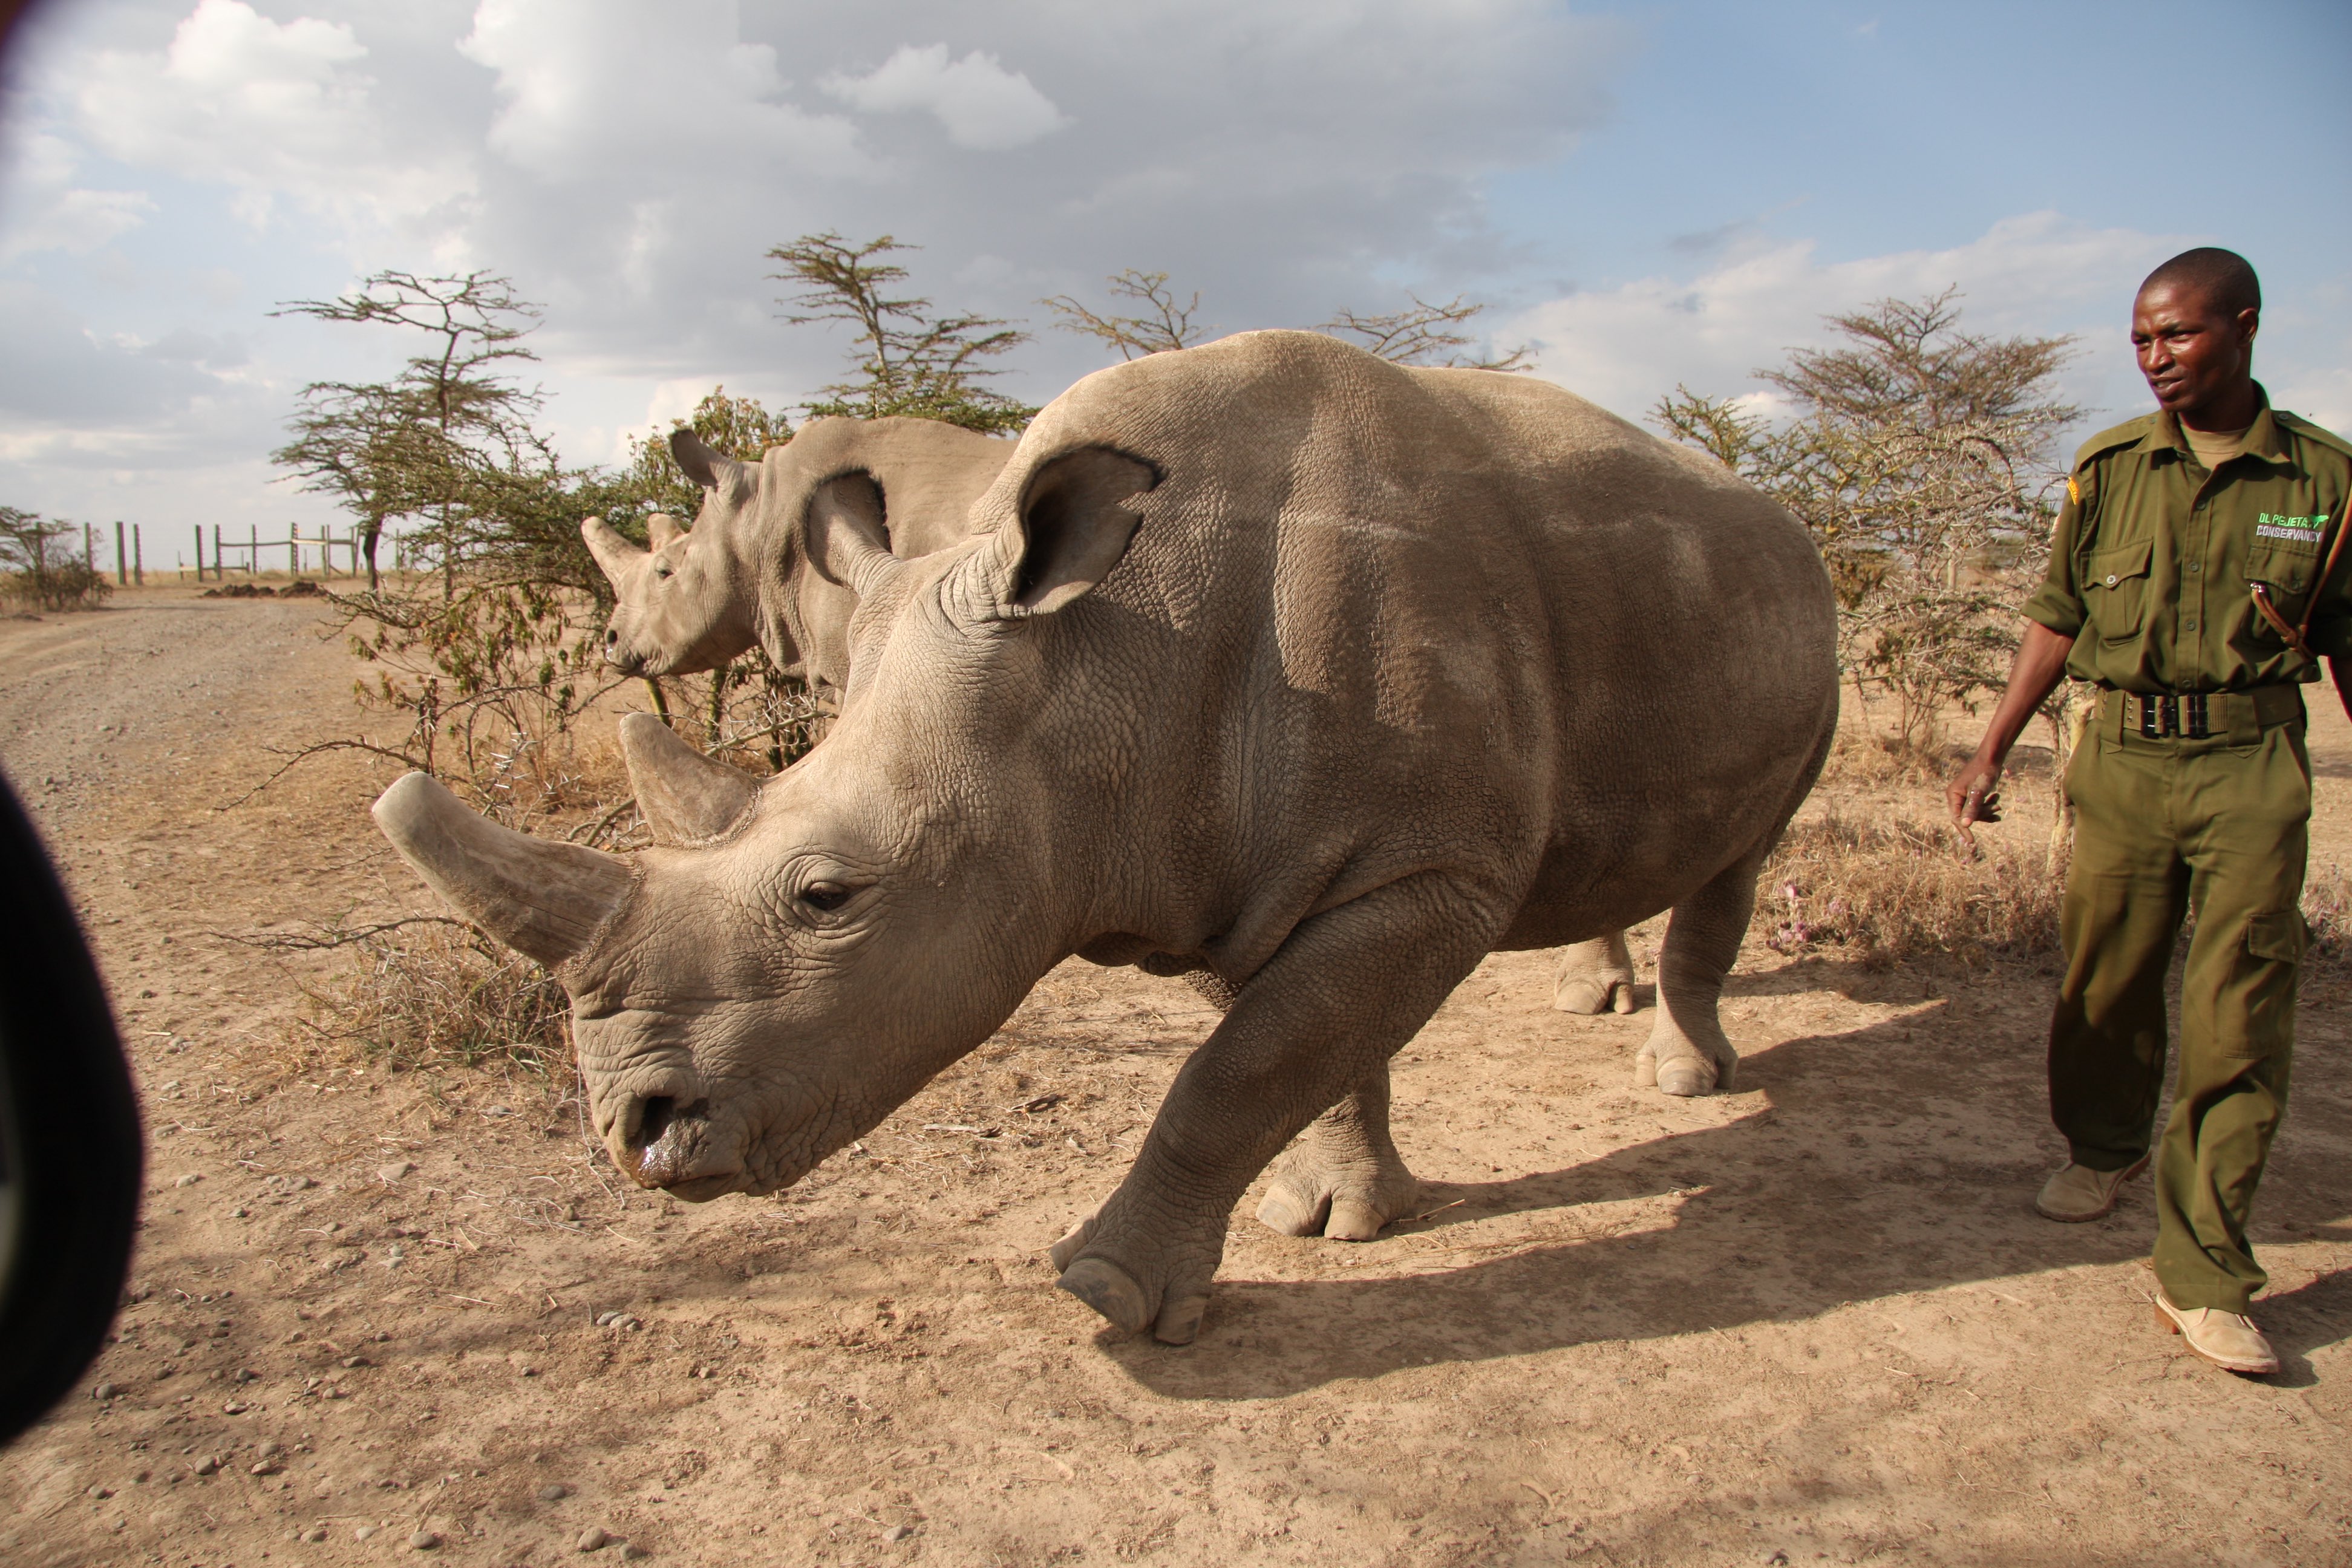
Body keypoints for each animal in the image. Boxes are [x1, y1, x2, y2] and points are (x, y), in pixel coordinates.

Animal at [375, 330, 1839, 1344]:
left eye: (828, 896)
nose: (631, 1129)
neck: (1101, 662)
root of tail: (1770, 503)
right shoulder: (1213, 860)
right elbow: (1300, 1056)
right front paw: (1337, 1216)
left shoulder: (1426, 866)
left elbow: (1235, 1077)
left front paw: (1106, 1293)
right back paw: (1596, 993)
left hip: (1798, 602)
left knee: (1745, 855)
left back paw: (1685, 1079)